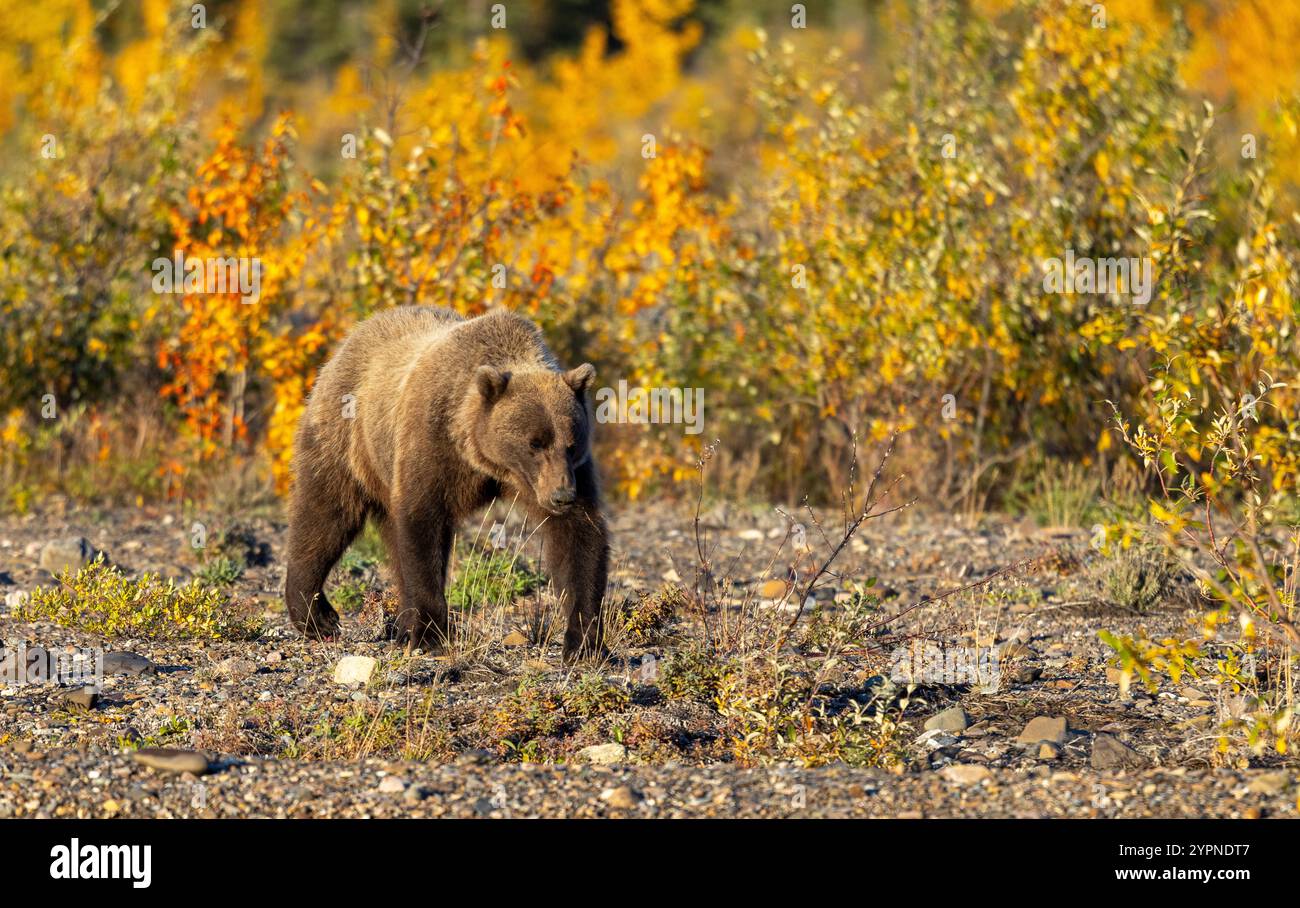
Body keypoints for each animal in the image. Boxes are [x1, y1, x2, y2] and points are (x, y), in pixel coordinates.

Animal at [283, 305, 609, 661]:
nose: (561, 495)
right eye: (534, 443)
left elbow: (578, 537)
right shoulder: (431, 443)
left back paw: (397, 625)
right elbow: (423, 526)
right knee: (326, 512)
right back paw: (316, 615)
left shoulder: (567, 475)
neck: (484, 459)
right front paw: (429, 633)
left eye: (571, 444)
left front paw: (583, 642)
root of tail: (351, 338)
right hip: (347, 438)